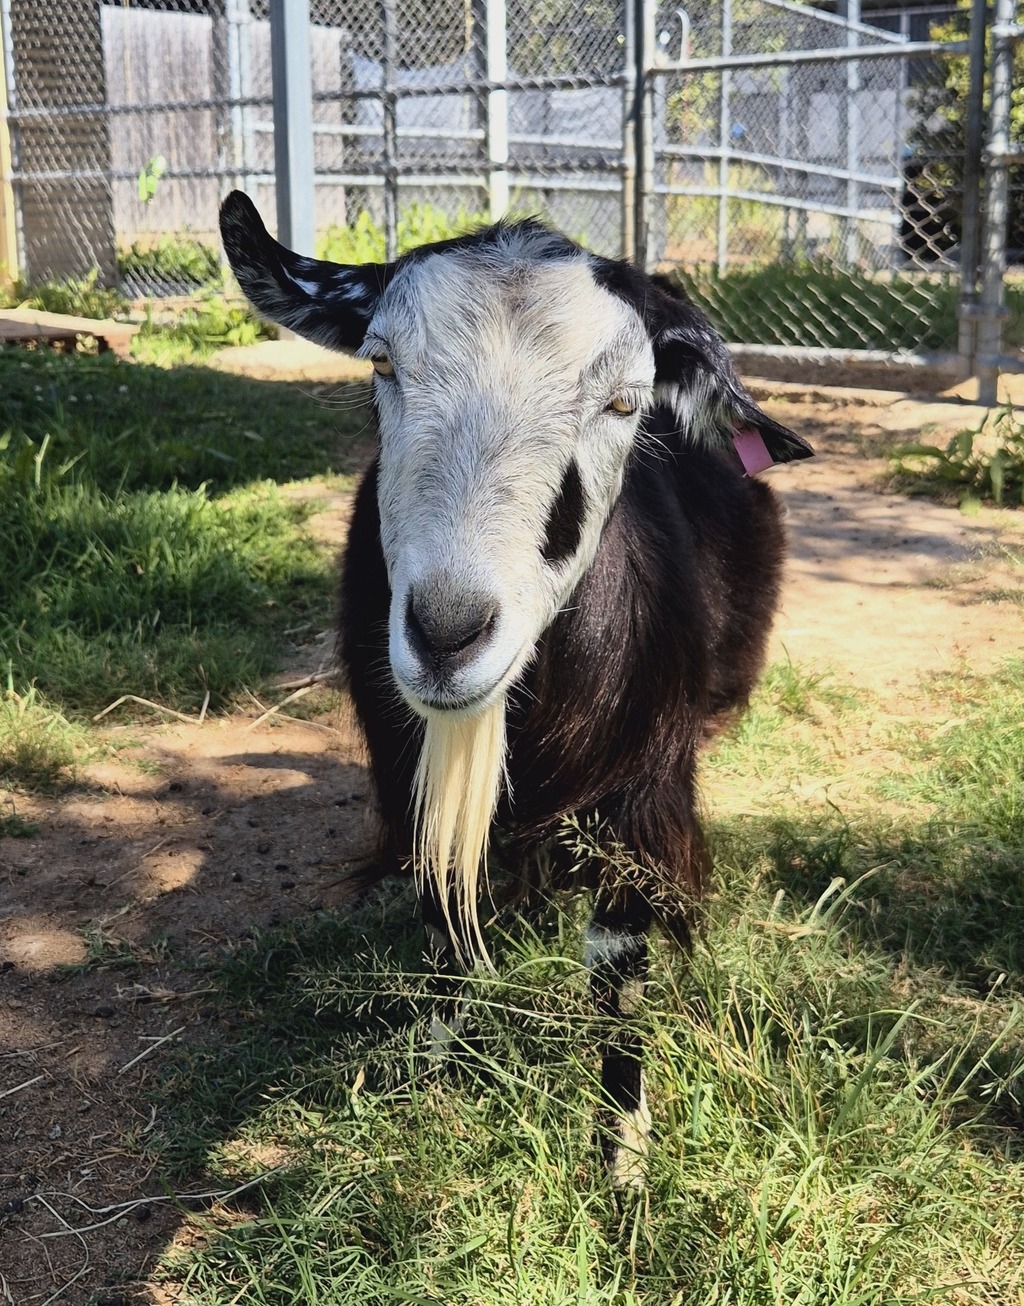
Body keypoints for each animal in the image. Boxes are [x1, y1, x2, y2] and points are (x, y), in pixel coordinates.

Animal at [220, 192, 812, 1188]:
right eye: (382, 364)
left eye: (624, 400)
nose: (447, 634)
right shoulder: (413, 785)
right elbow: (448, 938)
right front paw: (434, 1094)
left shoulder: (643, 793)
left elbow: (617, 970)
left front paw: (619, 1160)